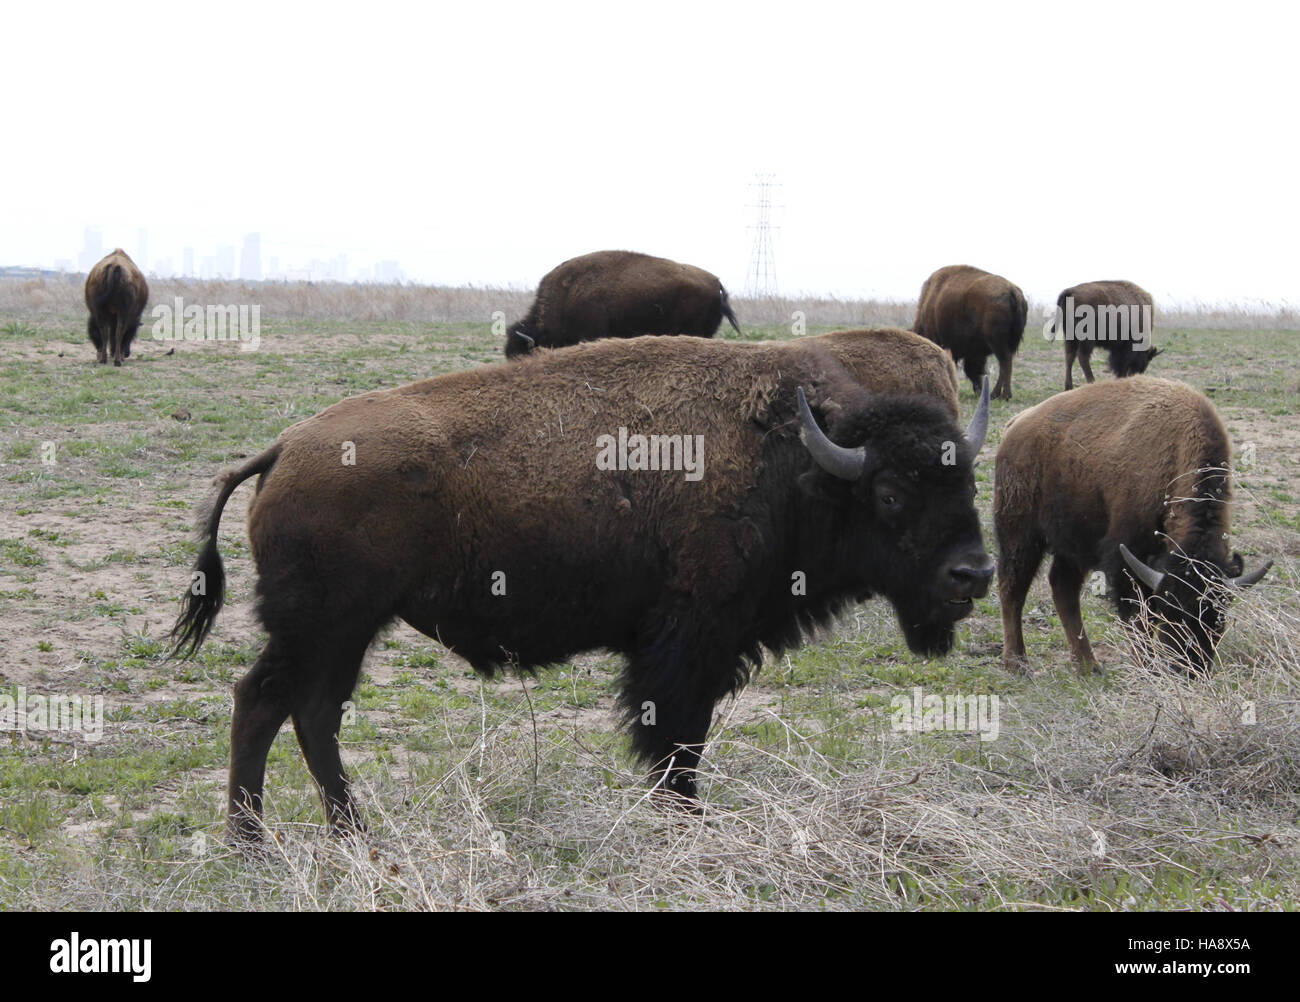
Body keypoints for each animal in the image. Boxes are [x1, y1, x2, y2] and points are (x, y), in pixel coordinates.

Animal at [171, 328, 993, 839]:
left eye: (966, 484)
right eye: (891, 495)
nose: (975, 573)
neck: (799, 460)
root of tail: (283, 449)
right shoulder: (689, 641)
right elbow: (676, 742)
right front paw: (689, 824)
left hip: (346, 633)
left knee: (311, 714)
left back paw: (352, 835)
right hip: (322, 627)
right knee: (263, 703)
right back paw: (254, 843)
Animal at [914, 264, 1027, 401]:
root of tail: (1012, 291)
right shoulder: (974, 352)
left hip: (996, 342)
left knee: (1005, 362)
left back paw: (1000, 395)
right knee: (1005, 363)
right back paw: (997, 395)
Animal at [994, 376, 1270, 675]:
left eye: (1217, 619)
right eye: (1170, 613)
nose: (1189, 669)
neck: (1175, 452)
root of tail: (1016, 425)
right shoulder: (1125, 558)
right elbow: (1139, 618)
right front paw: (1147, 665)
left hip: (1074, 543)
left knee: (1062, 587)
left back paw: (1088, 664)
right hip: (1020, 533)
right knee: (1012, 589)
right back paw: (1017, 663)